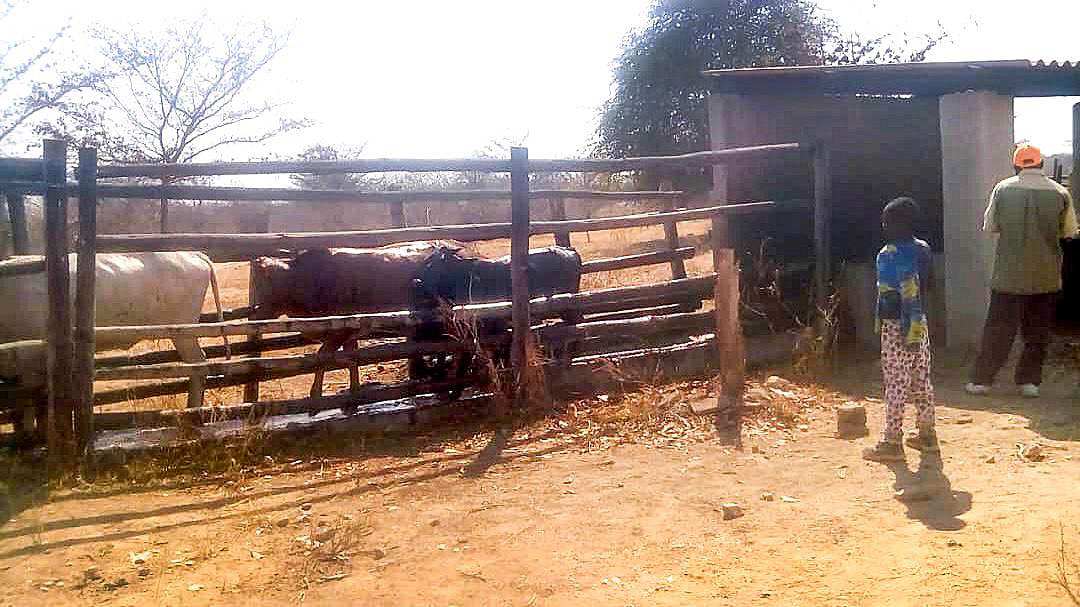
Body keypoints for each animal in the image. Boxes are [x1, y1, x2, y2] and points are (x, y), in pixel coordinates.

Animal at [0, 251, 228, 434]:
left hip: (183, 332)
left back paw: (193, 411)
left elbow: (28, 402)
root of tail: (192, 253)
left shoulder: (29, 362)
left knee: (199, 364)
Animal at [248, 241, 471, 400]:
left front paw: (315, 397)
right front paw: (354, 396)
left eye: (263, 286)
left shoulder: (338, 331)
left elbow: (322, 358)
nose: (253, 316)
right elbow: (352, 360)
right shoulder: (348, 333)